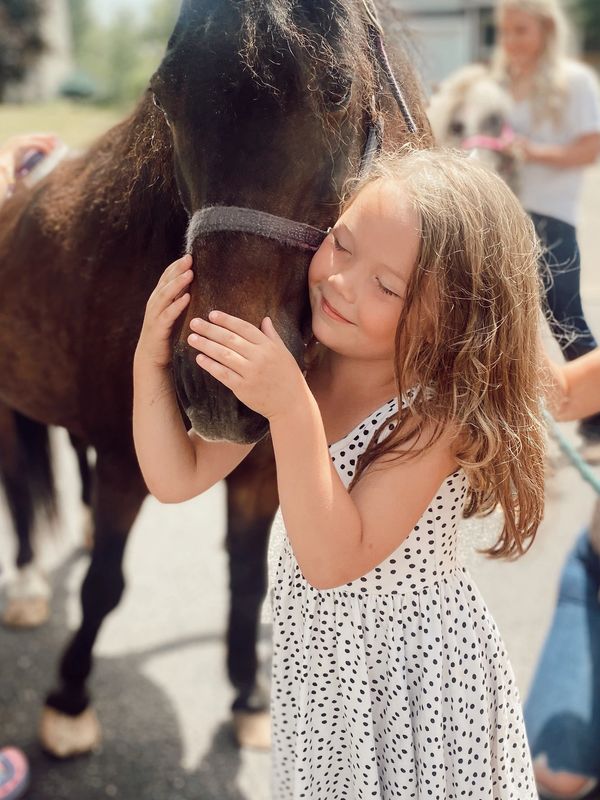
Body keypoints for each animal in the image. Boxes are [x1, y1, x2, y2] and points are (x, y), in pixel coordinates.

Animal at [0, 0, 431, 757]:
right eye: (165, 95)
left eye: (338, 90)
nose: (216, 390)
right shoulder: (126, 460)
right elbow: (103, 585)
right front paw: (69, 701)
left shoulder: (263, 469)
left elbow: (247, 577)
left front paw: (249, 697)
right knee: (18, 485)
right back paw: (25, 584)